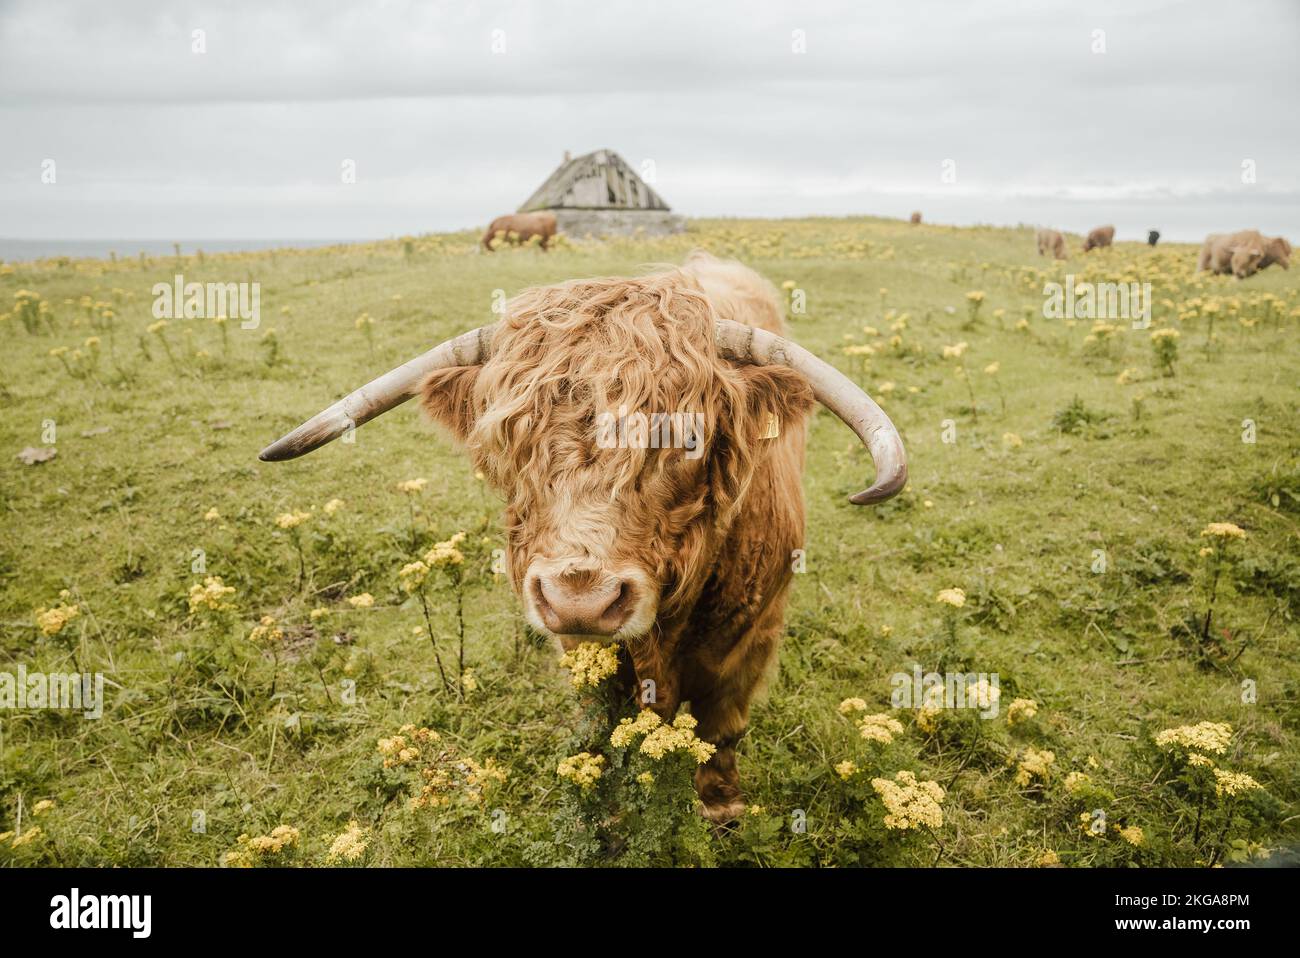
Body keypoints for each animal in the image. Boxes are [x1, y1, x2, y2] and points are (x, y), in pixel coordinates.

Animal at [258, 251, 908, 823]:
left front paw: (721, 807)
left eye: (689, 440)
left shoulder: (751, 637)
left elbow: (722, 724)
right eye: (506, 442)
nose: (581, 599)